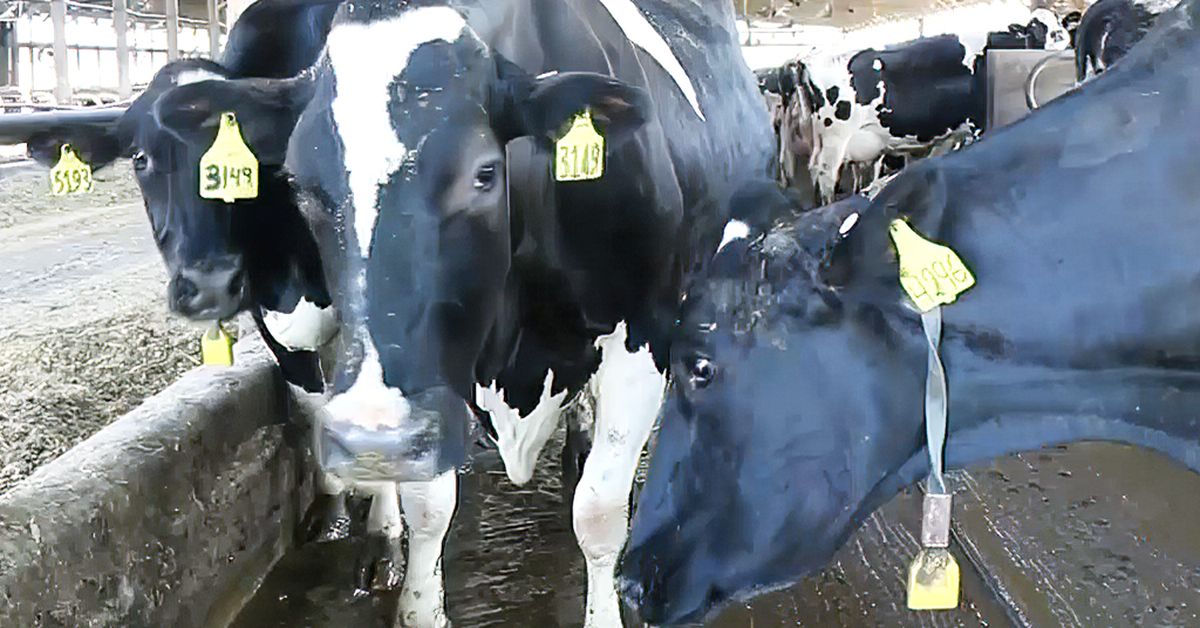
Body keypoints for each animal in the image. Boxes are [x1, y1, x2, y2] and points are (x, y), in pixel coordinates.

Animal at [151, 0, 774, 624]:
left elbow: (599, 511)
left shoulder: (643, 335)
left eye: (483, 173)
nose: (372, 438)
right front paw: (419, 605)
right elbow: (428, 504)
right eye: (301, 185)